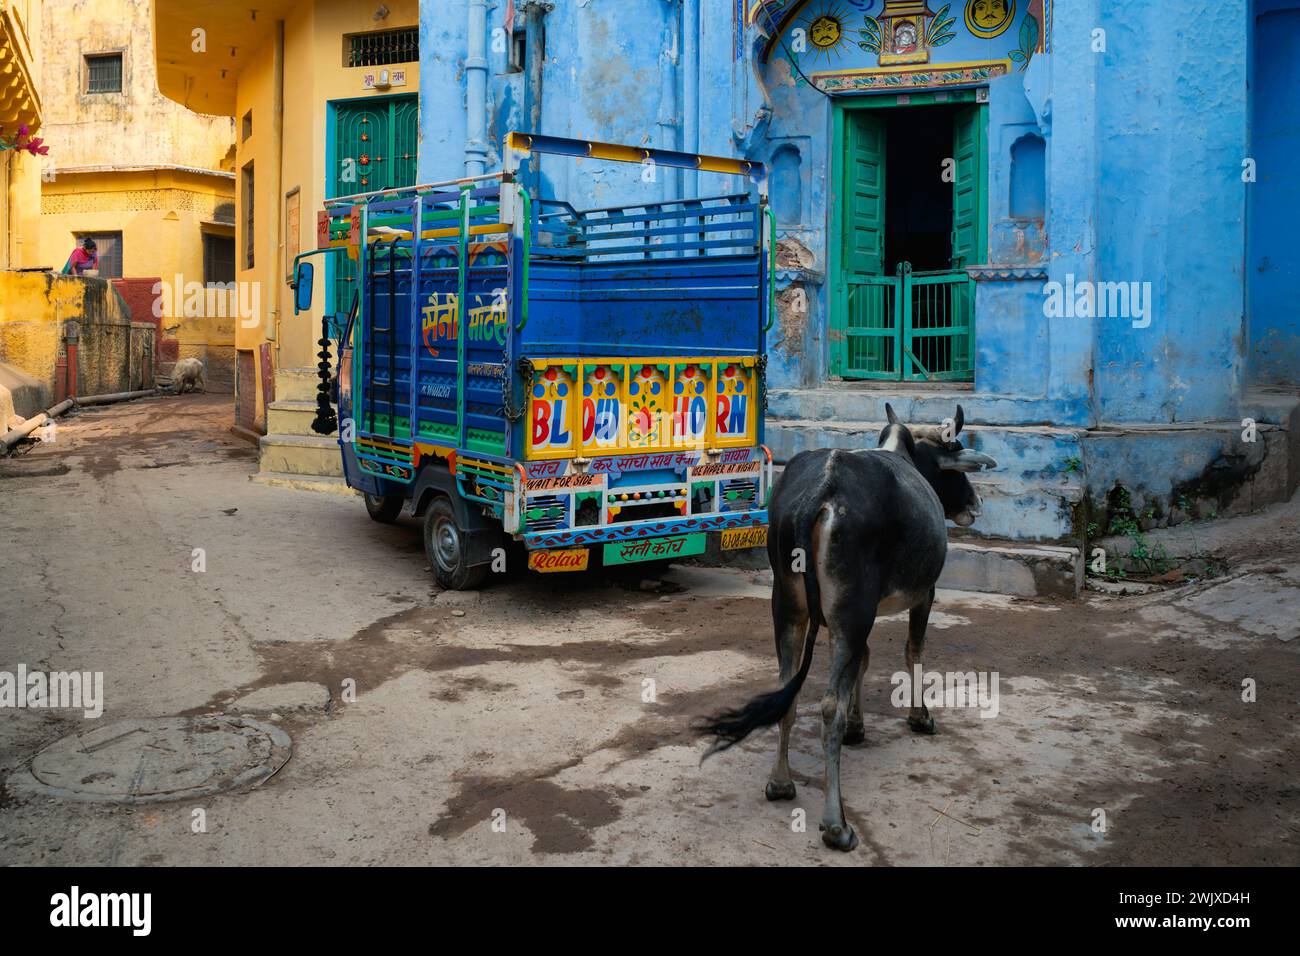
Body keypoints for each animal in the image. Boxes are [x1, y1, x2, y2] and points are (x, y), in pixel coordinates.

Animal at [697, 404, 997, 851]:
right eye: (955, 450)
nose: (975, 504)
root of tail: (821, 495)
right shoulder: (923, 593)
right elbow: (913, 651)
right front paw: (919, 717)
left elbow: (864, 660)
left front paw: (859, 726)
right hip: (851, 612)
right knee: (827, 708)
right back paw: (836, 824)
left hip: (790, 607)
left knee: (788, 690)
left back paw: (780, 783)